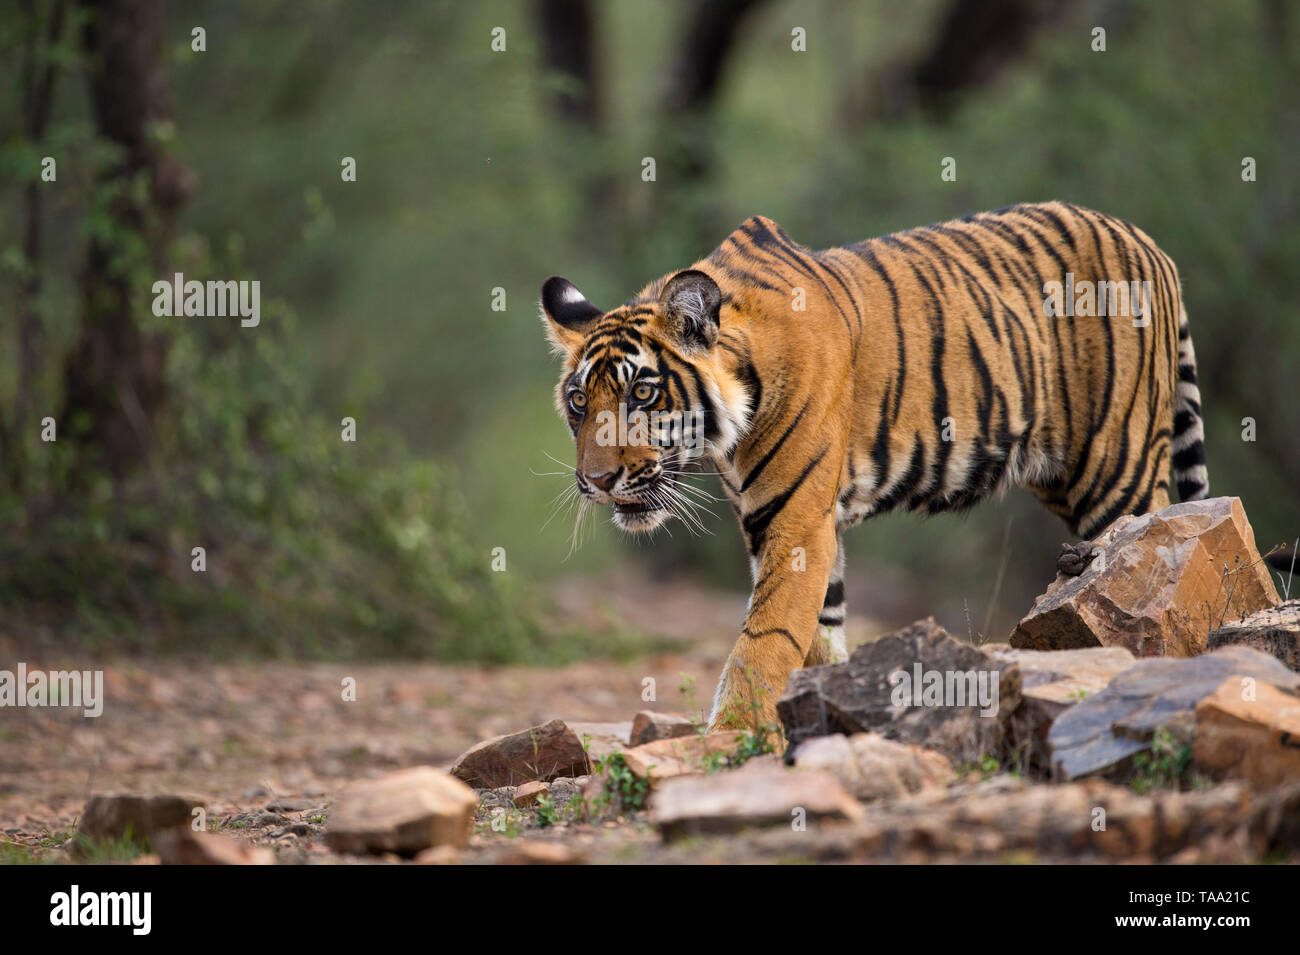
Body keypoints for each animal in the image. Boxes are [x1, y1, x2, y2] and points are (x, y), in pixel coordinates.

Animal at [540, 201, 1207, 732]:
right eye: (579, 402)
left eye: (642, 394)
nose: (596, 482)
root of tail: (1147, 241)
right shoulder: (791, 524)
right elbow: (817, 632)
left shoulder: (795, 523)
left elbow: (765, 638)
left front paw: (731, 737)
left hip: (1117, 471)